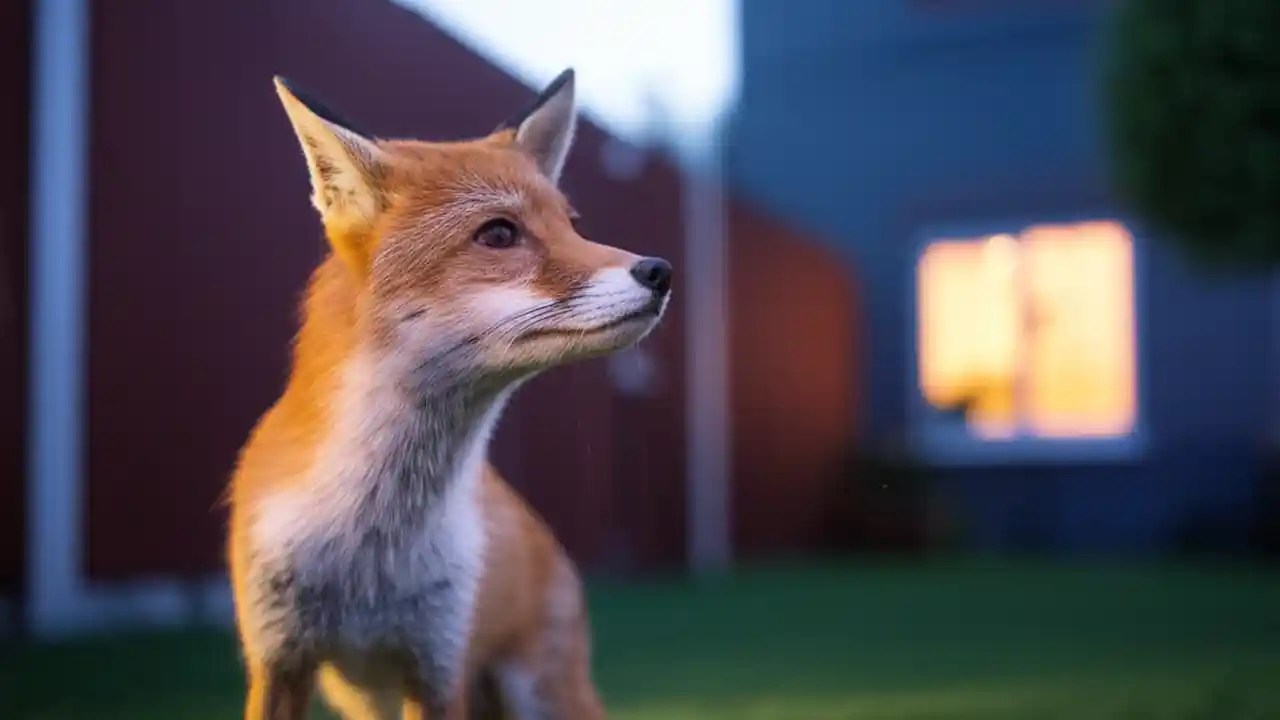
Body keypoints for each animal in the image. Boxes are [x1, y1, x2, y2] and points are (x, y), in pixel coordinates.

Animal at [226, 68, 672, 720]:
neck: (371, 549)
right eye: (499, 233)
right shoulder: (279, 660)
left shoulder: (439, 667)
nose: (661, 271)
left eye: (571, 224)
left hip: (539, 695)